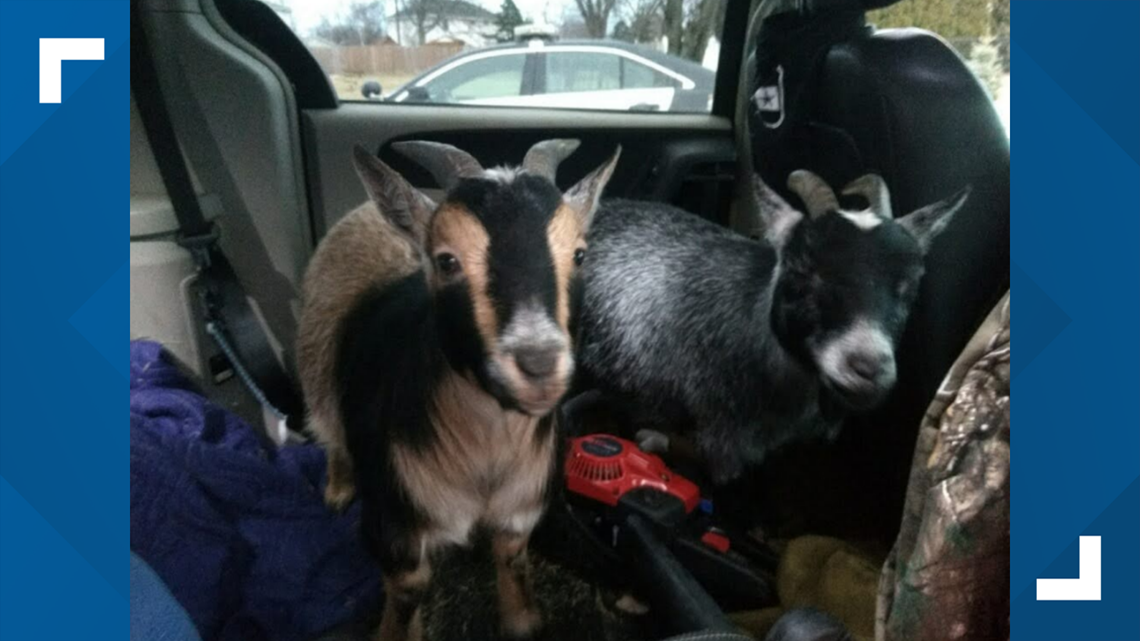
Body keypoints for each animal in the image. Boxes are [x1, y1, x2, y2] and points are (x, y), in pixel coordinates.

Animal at [296, 139, 620, 640]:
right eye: (447, 260)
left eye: (580, 254)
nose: (538, 363)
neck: (483, 463)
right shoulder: (393, 525)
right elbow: (408, 590)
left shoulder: (517, 517)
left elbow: (515, 579)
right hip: (316, 361)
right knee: (329, 426)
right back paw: (338, 488)